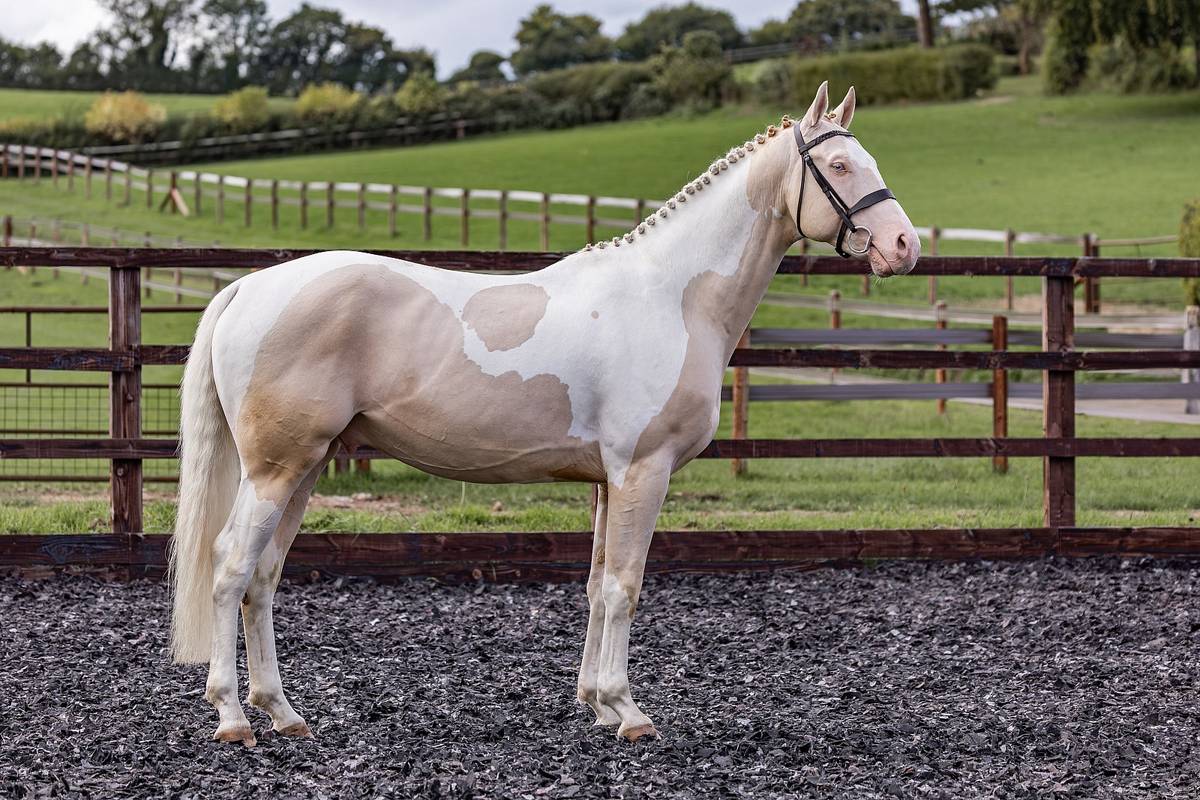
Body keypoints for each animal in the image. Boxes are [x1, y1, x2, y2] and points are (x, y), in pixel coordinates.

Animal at [169, 81, 920, 747]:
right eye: (840, 165)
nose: (905, 246)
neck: (670, 295)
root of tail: (248, 287)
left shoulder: (608, 481)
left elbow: (595, 586)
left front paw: (597, 704)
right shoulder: (643, 472)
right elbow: (625, 586)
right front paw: (629, 711)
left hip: (305, 468)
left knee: (263, 579)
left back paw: (282, 713)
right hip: (276, 470)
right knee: (230, 566)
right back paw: (233, 718)